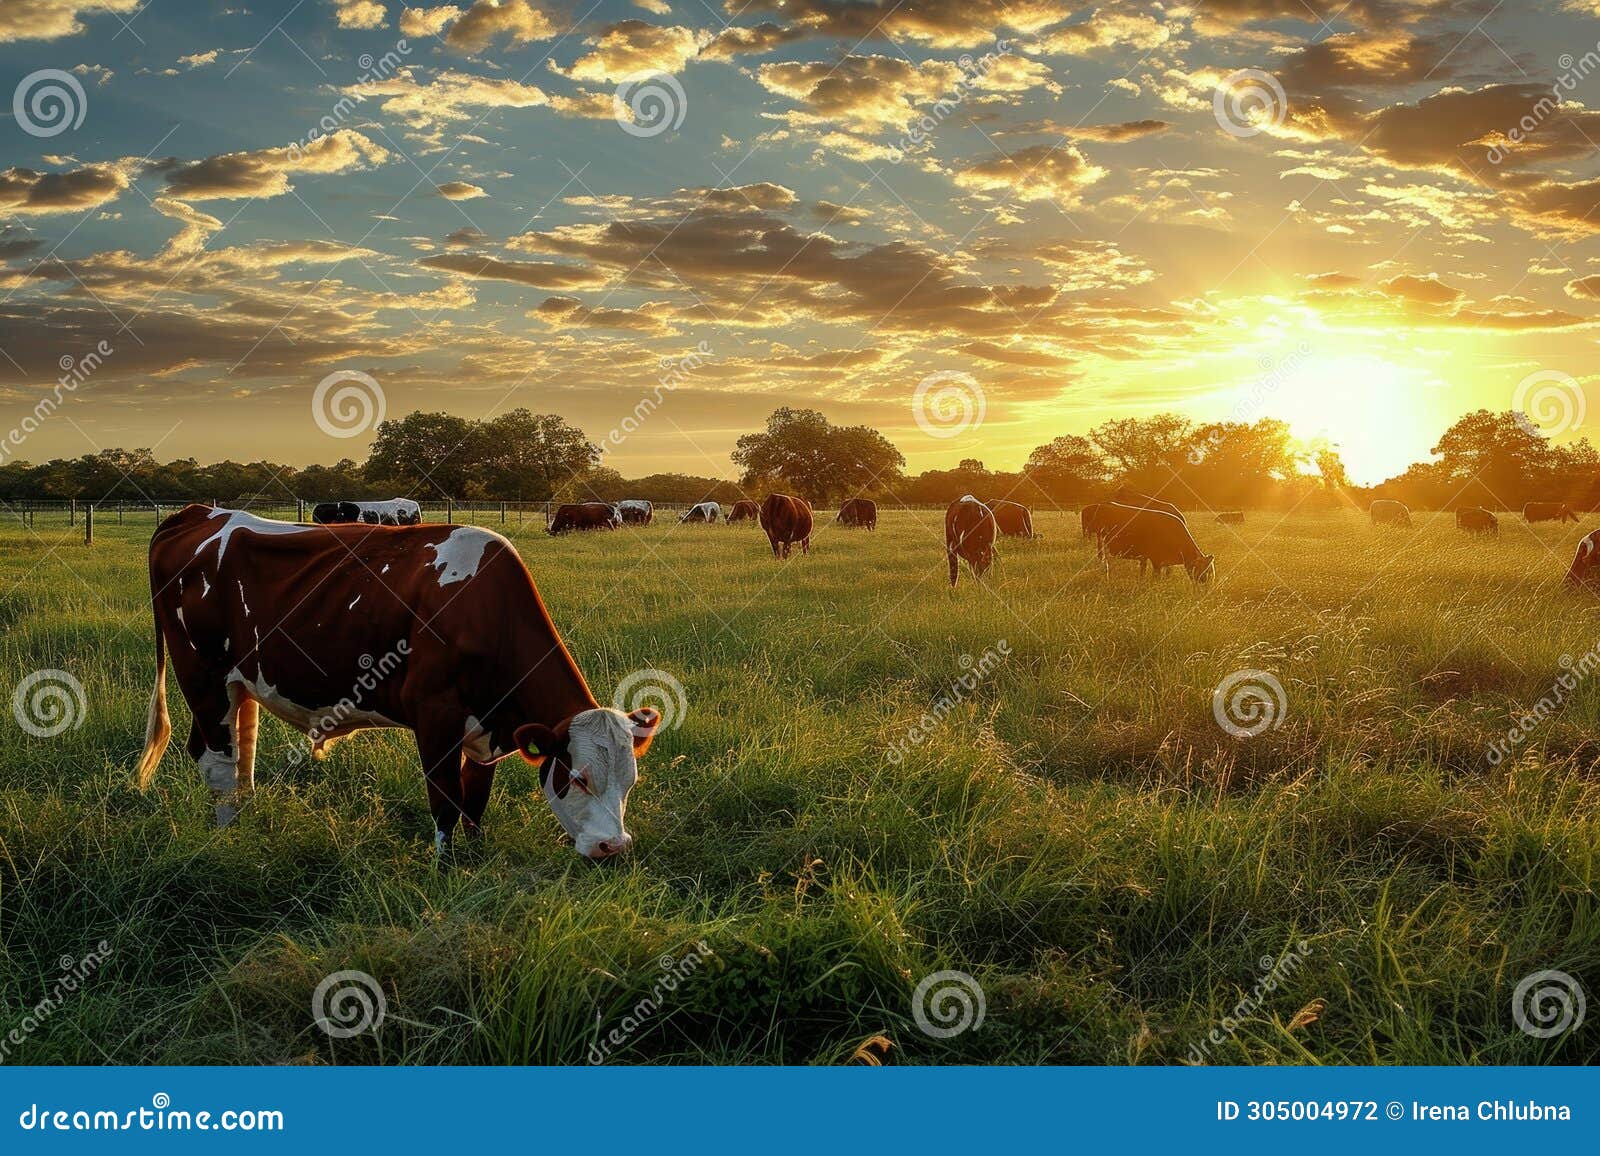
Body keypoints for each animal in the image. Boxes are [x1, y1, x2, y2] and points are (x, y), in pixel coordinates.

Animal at [135, 505, 661, 861]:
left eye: (631, 781)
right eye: (578, 777)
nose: (614, 846)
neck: (486, 608)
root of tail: (200, 513)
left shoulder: (486, 729)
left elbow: (475, 802)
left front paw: (475, 861)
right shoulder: (435, 715)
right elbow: (446, 802)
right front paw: (446, 871)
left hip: (242, 683)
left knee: (242, 753)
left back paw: (246, 827)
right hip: (204, 677)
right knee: (218, 762)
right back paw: (229, 839)